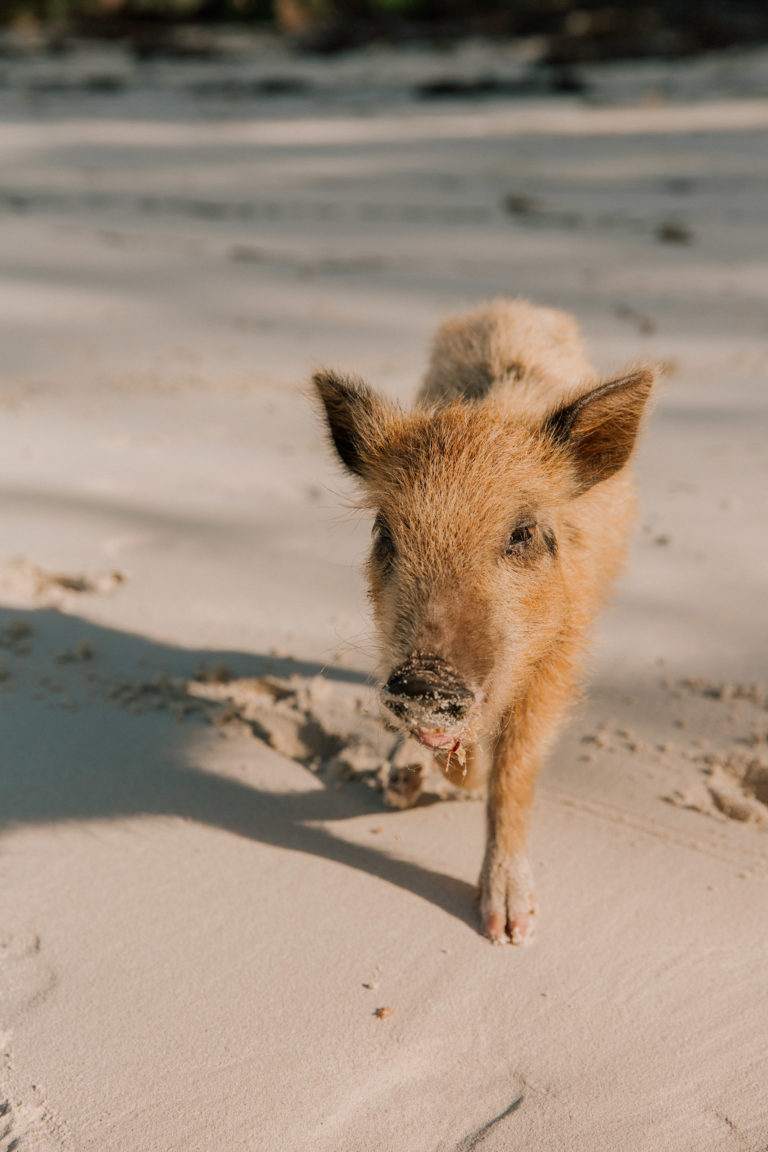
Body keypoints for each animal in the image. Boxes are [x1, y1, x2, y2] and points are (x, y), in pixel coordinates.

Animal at [314, 299, 655, 944]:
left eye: (523, 533)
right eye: (384, 531)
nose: (425, 678)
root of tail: (514, 305)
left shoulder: (563, 653)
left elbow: (514, 769)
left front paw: (510, 930)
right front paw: (414, 786)